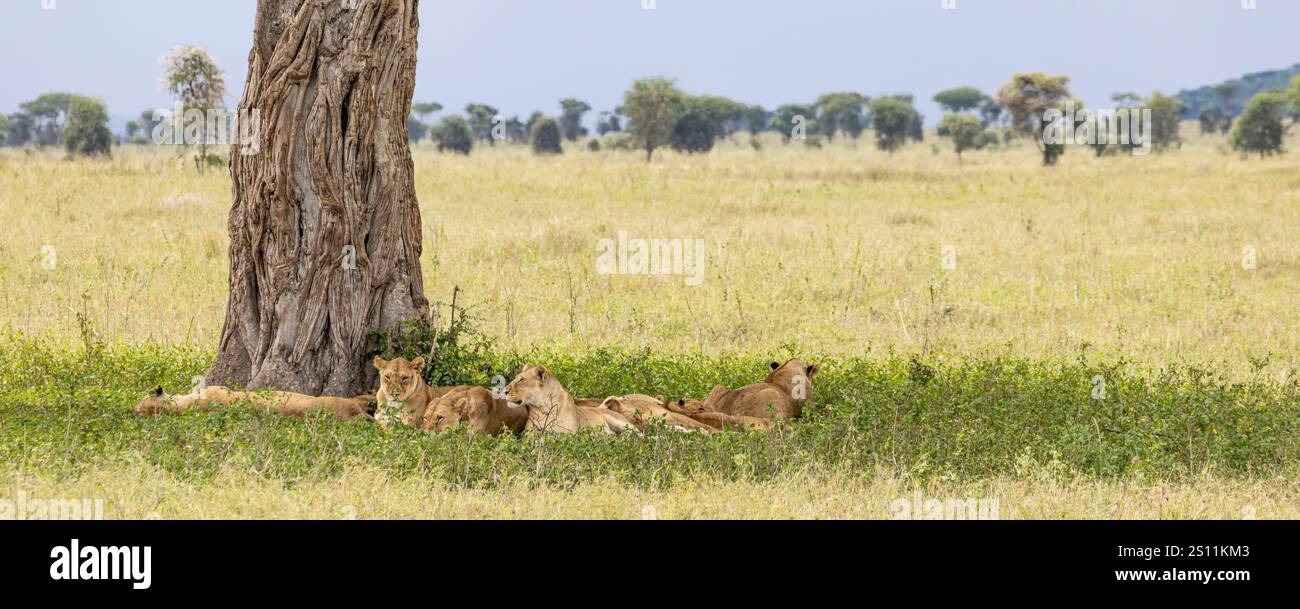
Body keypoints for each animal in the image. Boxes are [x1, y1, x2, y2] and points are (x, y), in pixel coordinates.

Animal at [504, 364, 638, 434]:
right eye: (516, 378)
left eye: (521, 380)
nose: (504, 391)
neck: (544, 408)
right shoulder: (529, 435)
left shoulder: (568, 434)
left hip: (621, 423)